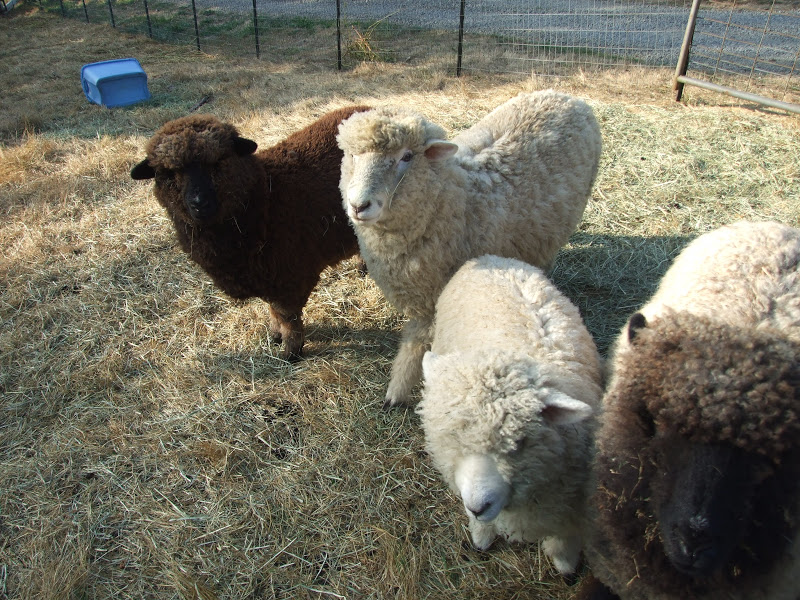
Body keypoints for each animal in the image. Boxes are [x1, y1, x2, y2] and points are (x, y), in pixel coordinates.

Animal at [131, 106, 370, 360]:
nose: (199, 203)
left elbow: (288, 317)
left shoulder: (288, 277)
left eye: (219, 160)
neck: (265, 196)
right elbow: (274, 311)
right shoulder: (269, 277)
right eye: (167, 172)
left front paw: (291, 352)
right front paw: (275, 336)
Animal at [337, 90, 602, 406]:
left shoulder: (435, 299)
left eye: (406, 156)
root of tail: (565, 96)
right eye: (353, 155)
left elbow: (417, 344)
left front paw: (397, 391)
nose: (358, 205)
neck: (455, 200)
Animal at [416, 255, 604, 575]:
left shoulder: (571, 504)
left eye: (518, 445)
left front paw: (566, 566)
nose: (478, 506)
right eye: (452, 442)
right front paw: (481, 538)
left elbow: (565, 540)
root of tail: (487, 258)